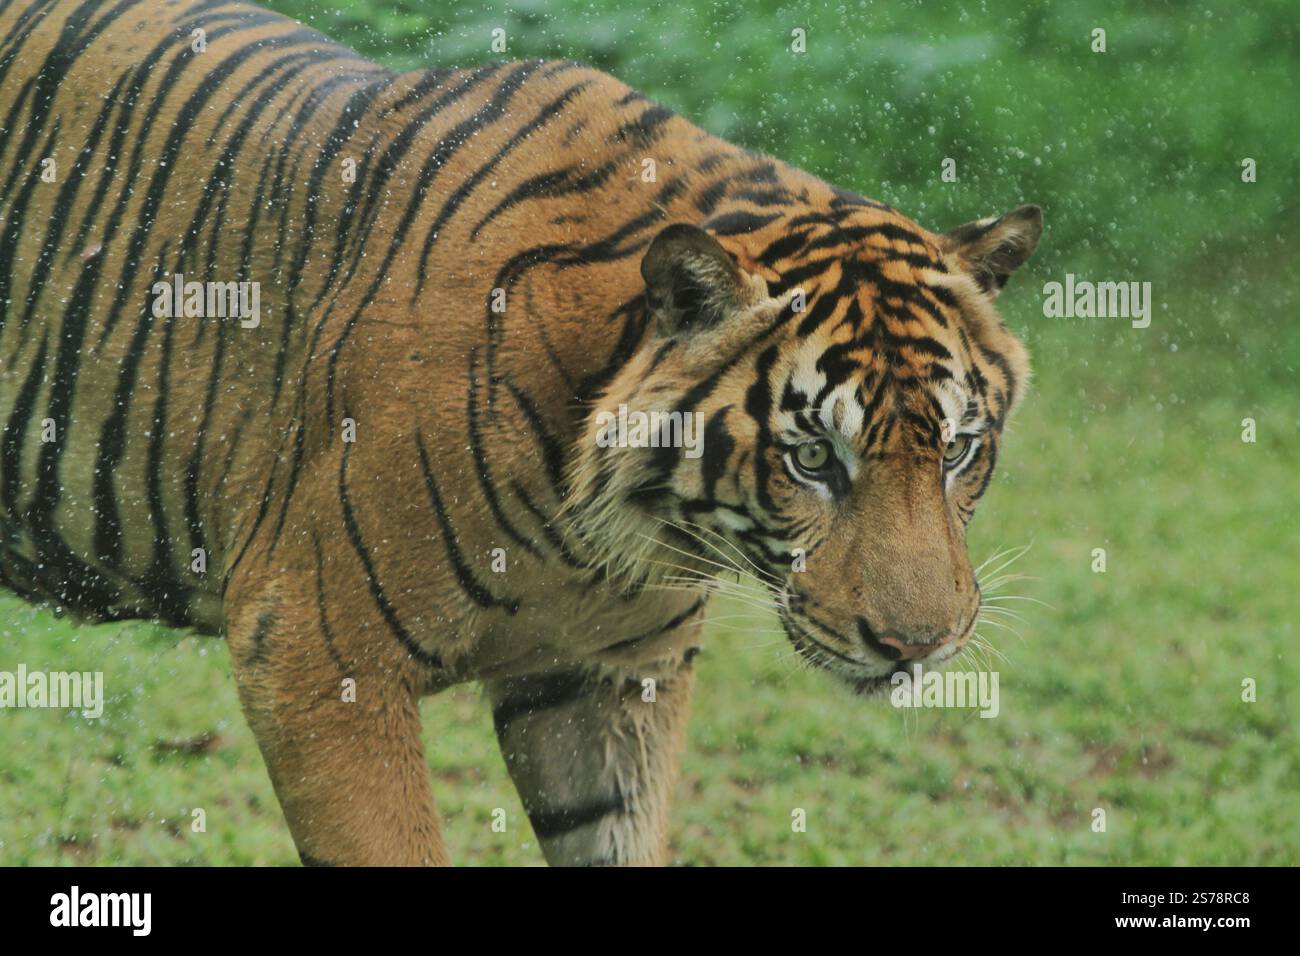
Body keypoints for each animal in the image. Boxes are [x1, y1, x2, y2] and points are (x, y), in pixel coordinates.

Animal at [0, 0, 1041, 866]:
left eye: (955, 450)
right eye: (815, 459)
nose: (919, 646)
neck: (612, 533)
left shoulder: (610, 680)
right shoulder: (314, 655)